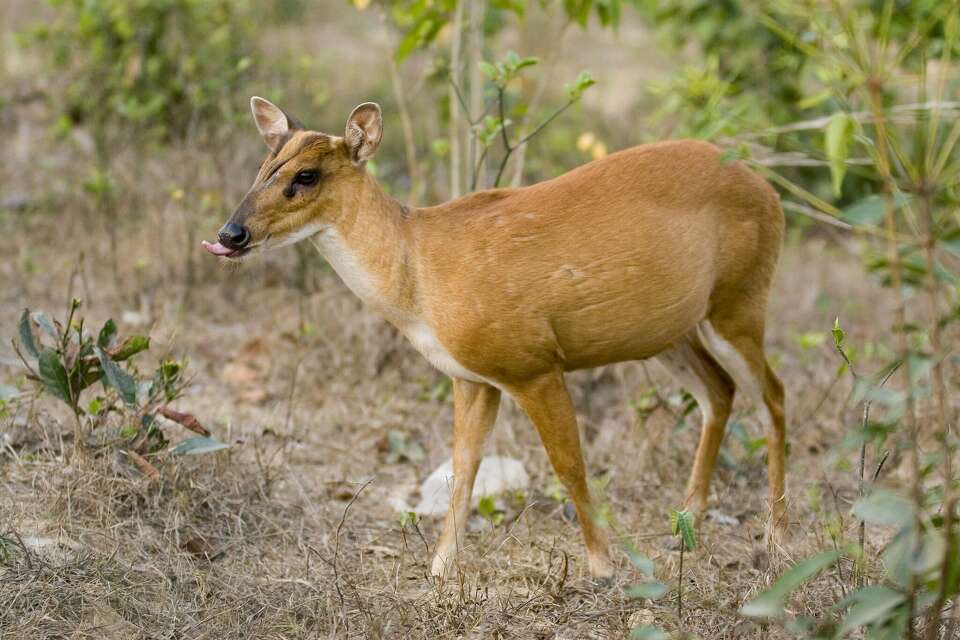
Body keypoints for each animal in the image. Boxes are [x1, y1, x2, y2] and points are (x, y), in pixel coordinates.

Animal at [202, 97, 787, 581]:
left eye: (306, 175)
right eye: (263, 168)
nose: (231, 234)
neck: (420, 276)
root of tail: (769, 189)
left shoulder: (533, 362)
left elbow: (569, 465)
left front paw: (603, 568)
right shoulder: (471, 377)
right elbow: (461, 472)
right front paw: (439, 573)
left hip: (741, 297)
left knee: (773, 394)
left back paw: (776, 536)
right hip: (672, 329)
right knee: (719, 392)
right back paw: (688, 521)